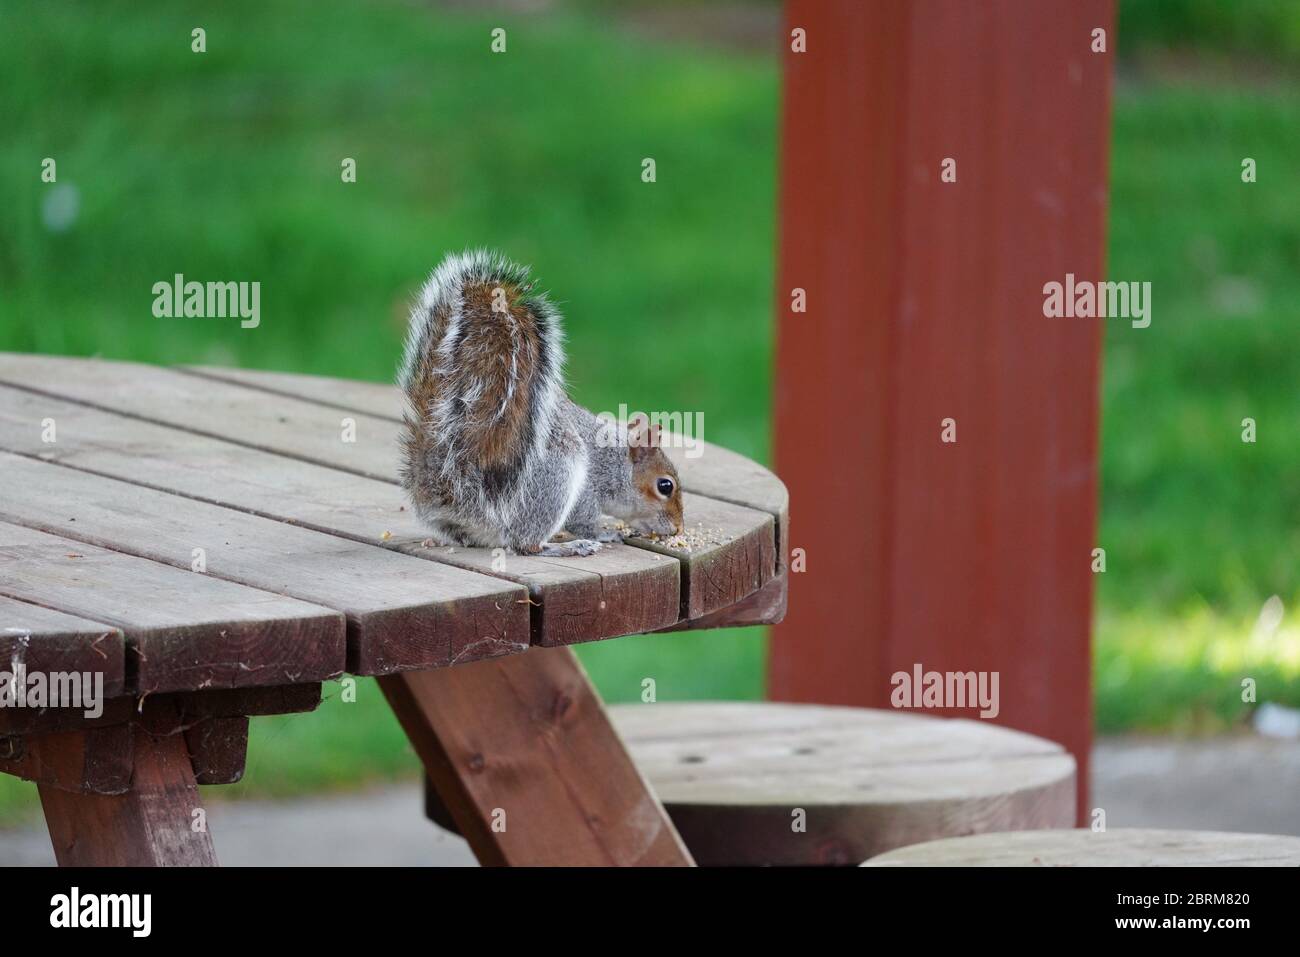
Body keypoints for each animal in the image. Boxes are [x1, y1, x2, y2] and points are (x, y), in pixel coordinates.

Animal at [398, 250, 685, 557]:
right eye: (665, 486)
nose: (678, 528)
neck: (616, 462)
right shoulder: (590, 487)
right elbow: (583, 519)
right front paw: (603, 533)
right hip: (555, 474)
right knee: (525, 543)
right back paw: (567, 547)